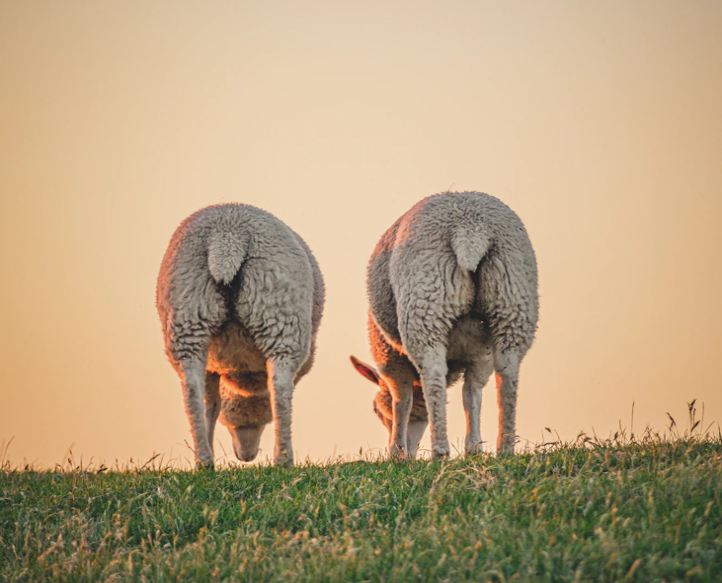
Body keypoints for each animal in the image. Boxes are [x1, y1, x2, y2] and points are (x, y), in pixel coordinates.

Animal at [157, 204, 324, 468]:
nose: (246, 457)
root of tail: (227, 236)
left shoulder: (212, 365)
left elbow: (212, 405)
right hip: (281, 312)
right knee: (280, 389)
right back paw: (283, 458)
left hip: (188, 310)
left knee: (192, 391)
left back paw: (204, 460)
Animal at [350, 191, 538, 458]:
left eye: (376, 410)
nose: (410, 453)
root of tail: (470, 230)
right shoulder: (481, 353)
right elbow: (472, 394)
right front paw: (474, 448)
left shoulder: (390, 359)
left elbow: (402, 401)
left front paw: (396, 453)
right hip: (511, 296)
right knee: (507, 373)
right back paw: (505, 448)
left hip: (426, 297)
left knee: (434, 374)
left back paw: (439, 450)